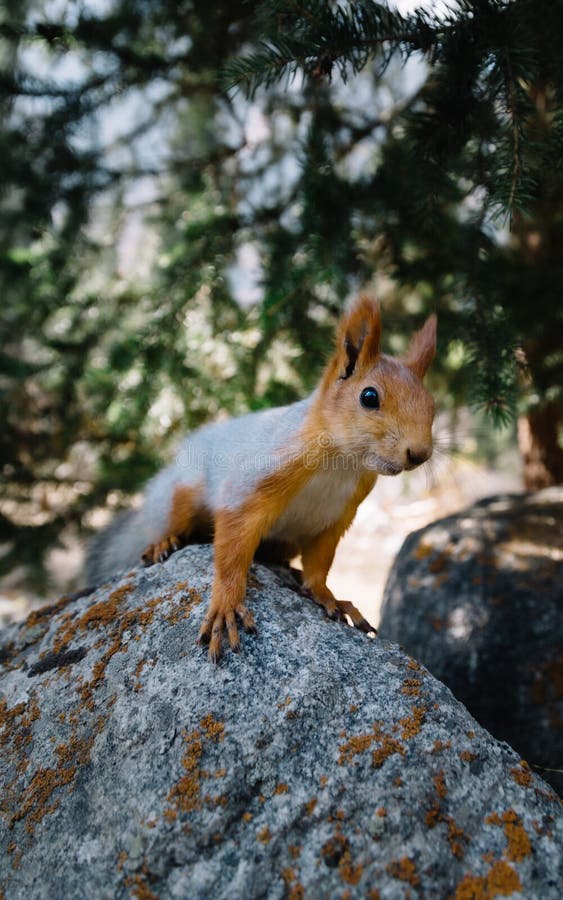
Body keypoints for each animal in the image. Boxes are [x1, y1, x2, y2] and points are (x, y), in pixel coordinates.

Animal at [85, 297, 436, 661]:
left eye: (431, 404)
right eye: (369, 397)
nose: (419, 453)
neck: (341, 462)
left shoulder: (335, 520)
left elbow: (319, 566)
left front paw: (329, 597)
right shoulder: (250, 484)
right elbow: (231, 552)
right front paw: (226, 604)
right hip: (178, 493)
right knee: (170, 520)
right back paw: (162, 541)